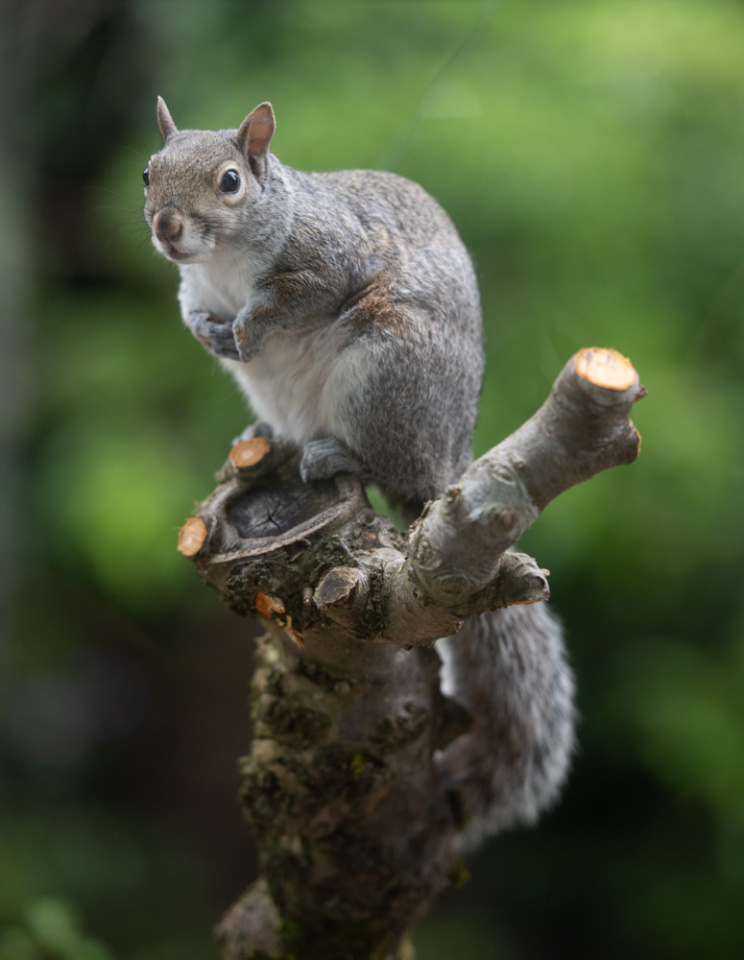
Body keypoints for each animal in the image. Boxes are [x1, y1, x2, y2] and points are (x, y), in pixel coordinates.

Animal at [143, 97, 575, 848]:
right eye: (148, 171)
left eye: (230, 181)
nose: (166, 227)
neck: (223, 262)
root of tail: (444, 464)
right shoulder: (191, 282)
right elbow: (187, 307)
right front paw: (208, 329)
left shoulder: (328, 259)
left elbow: (293, 301)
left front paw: (248, 329)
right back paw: (264, 439)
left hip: (386, 370)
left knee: (379, 459)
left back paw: (334, 454)